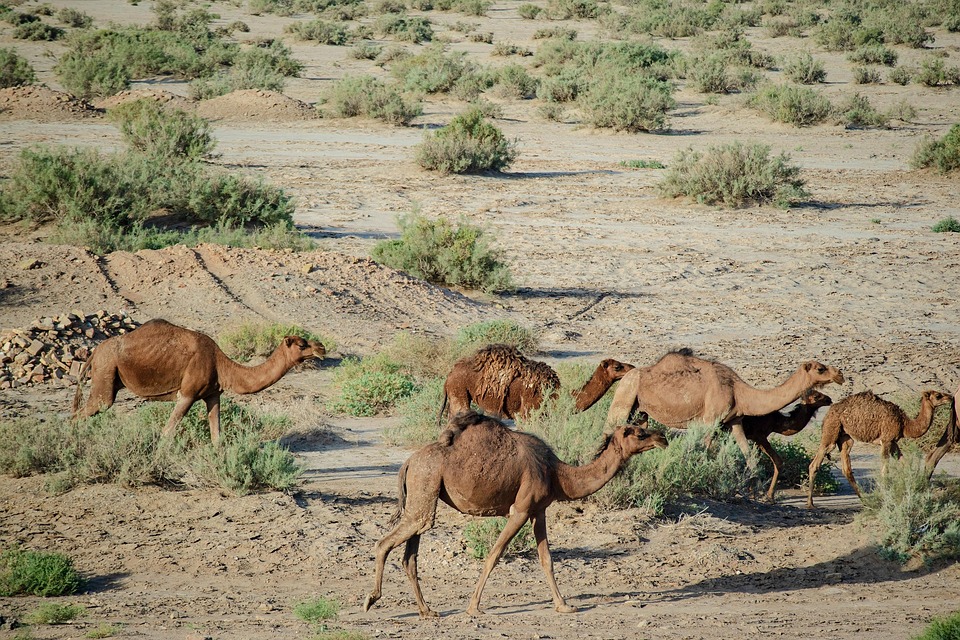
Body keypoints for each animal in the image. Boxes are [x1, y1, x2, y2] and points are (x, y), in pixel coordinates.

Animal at [72, 319, 325, 445]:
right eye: (302, 344)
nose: (321, 347)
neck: (221, 364)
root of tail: (95, 352)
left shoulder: (212, 393)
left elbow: (216, 435)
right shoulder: (187, 393)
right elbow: (167, 432)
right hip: (106, 371)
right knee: (87, 410)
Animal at [363, 410, 668, 619]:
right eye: (640, 433)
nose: (663, 438)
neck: (557, 474)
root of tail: (409, 461)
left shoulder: (538, 510)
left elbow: (547, 560)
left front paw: (563, 605)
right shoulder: (520, 510)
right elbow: (494, 555)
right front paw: (473, 607)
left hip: (423, 497)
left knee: (410, 555)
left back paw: (427, 611)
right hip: (425, 487)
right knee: (385, 543)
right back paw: (371, 599)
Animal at [438, 344, 634, 423]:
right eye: (617, 366)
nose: (632, 367)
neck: (556, 396)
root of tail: (449, 374)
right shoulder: (528, 412)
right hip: (459, 391)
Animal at [603, 349, 844, 469]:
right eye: (821, 369)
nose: (840, 374)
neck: (739, 391)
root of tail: (629, 374)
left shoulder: (734, 420)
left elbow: (749, 455)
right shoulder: (710, 421)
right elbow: (704, 452)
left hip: (640, 410)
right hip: (625, 395)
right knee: (609, 429)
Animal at [806, 389, 954, 508]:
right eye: (938, 395)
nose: (951, 397)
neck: (904, 424)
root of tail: (828, 414)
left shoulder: (893, 442)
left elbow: (905, 464)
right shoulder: (886, 440)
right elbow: (885, 471)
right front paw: (885, 497)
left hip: (845, 438)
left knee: (846, 468)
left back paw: (864, 500)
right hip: (831, 432)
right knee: (815, 464)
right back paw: (810, 503)